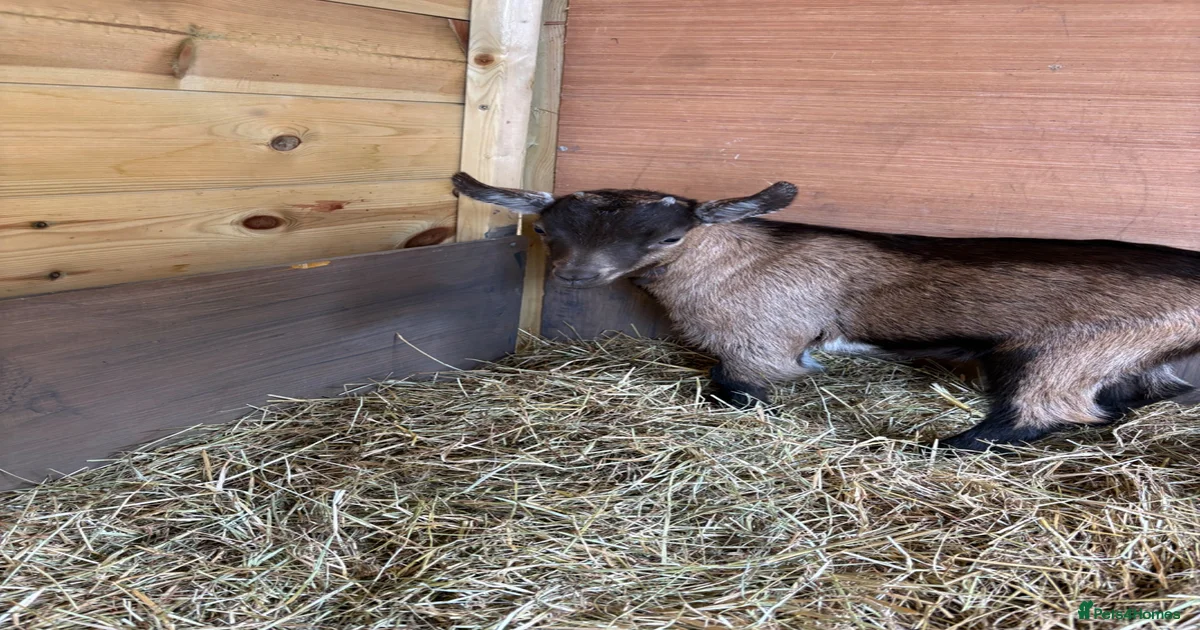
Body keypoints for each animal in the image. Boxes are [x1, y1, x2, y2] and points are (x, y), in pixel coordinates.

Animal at [452, 172, 1200, 450]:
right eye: (547, 230)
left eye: (667, 236)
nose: (577, 275)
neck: (736, 260)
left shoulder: (760, 346)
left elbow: (734, 388)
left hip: (1063, 351)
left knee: (1045, 410)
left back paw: (947, 444)